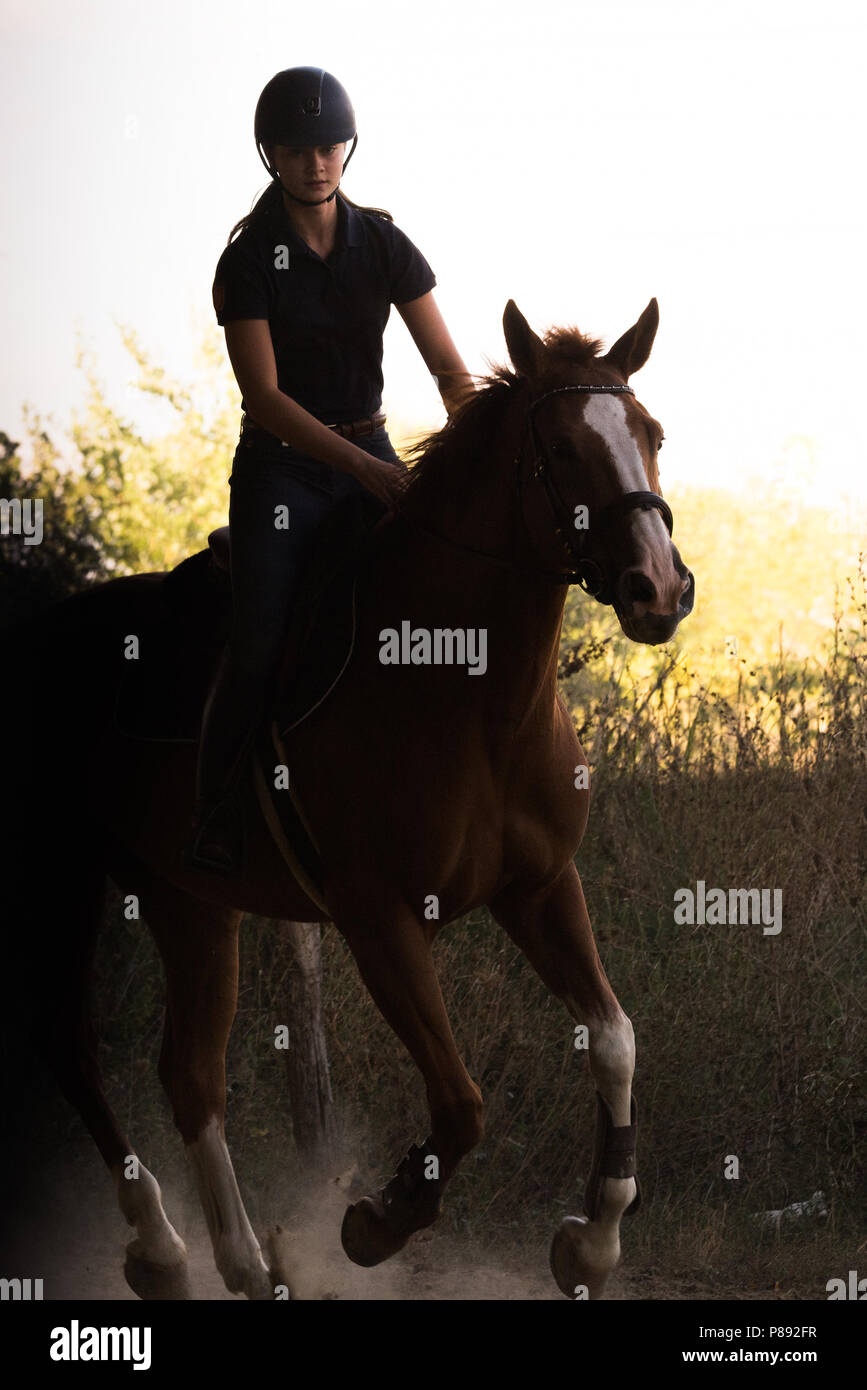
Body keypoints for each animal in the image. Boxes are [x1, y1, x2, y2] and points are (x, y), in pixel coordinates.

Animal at [7, 297, 693, 1300]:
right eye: (563, 449)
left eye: (651, 435)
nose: (658, 588)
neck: (465, 692)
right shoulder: (381, 920)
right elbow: (460, 1102)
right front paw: (377, 1221)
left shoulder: (539, 888)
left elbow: (615, 1041)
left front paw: (589, 1243)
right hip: (60, 877)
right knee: (74, 1047)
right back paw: (164, 1251)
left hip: (189, 904)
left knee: (190, 1076)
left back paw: (245, 1266)